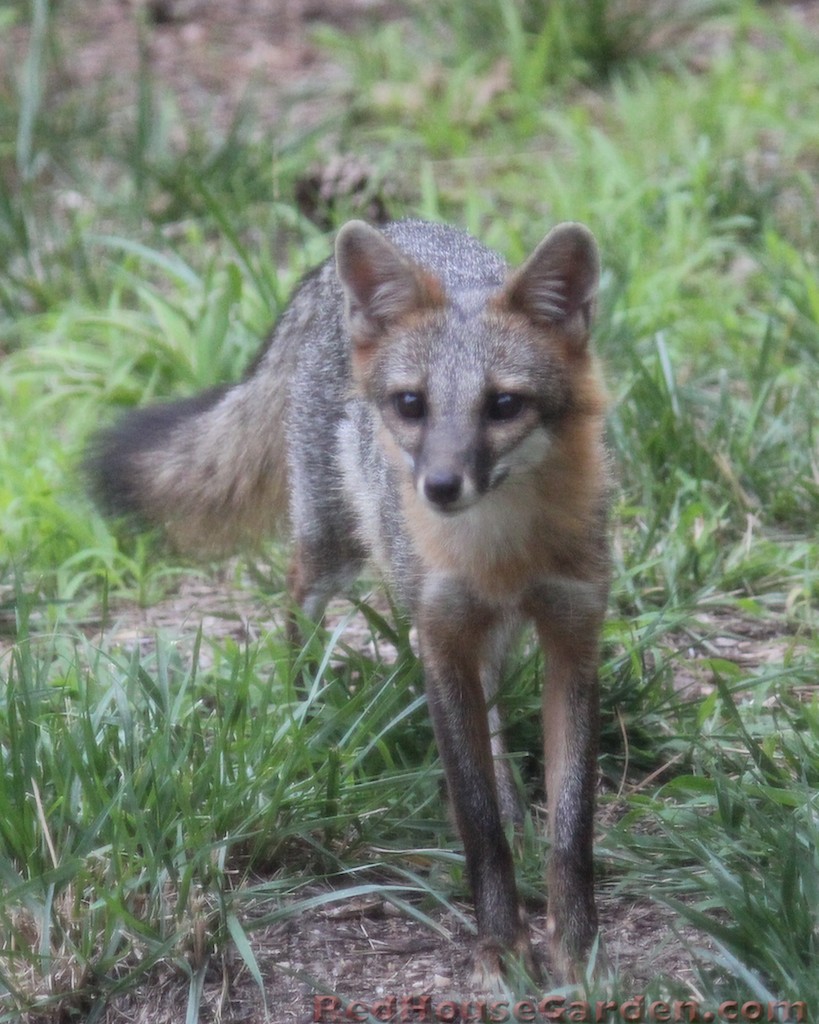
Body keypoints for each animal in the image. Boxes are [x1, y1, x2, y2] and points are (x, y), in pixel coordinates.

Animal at [86, 217, 611, 985]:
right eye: (412, 405)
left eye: (504, 405)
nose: (440, 487)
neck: (502, 551)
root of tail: (402, 225)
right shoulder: (439, 639)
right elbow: (476, 822)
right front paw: (501, 950)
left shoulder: (572, 635)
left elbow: (572, 830)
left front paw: (577, 953)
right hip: (332, 546)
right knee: (293, 600)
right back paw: (305, 709)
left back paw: (518, 809)